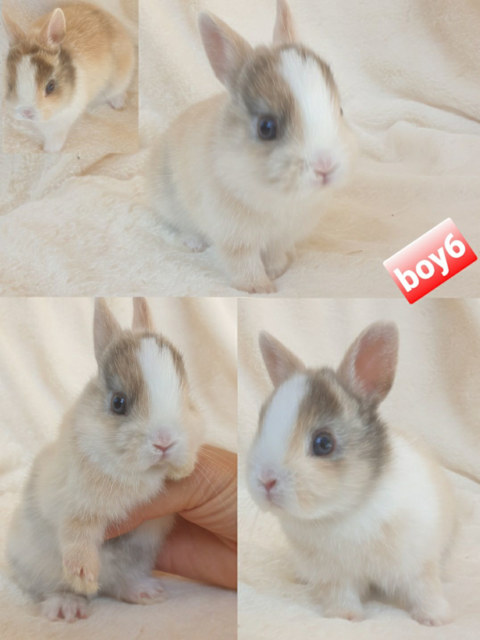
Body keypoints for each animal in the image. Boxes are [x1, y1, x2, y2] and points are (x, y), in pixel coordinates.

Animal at [3, 2, 135, 152]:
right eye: (10, 85)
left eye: (50, 87)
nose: (26, 112)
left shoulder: (60, 125)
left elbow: (55, 139)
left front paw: (49, 151)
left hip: (120, 79)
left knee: (118, 91)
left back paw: (118, 105)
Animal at [6, 298, 204, 622]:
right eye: (118, 403)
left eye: (187, 398)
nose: (165, 442)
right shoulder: (75, 508)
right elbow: (77, 538)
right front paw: (84, 575)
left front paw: (182, 468)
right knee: (54, 587)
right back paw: (68, 605)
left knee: (121, 583)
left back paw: (146, 593)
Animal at [148, 0, 356, 294]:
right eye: (267, 127)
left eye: (339, 111)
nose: (325, 167)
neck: (281, 196)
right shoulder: (234, 236)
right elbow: (243, 262)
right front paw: (259, 287)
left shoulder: (281, 236)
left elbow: (275, 253)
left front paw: (278, 269)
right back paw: (194, 243)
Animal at [247, 323, 456, 625]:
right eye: (261, 426)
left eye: (323, 443)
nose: (266, 480)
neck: (347, 510)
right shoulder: (334, 574)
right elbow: (340, 594)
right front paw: (345, 617)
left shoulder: (418, 561)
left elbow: (425, 589)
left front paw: (436, 619)